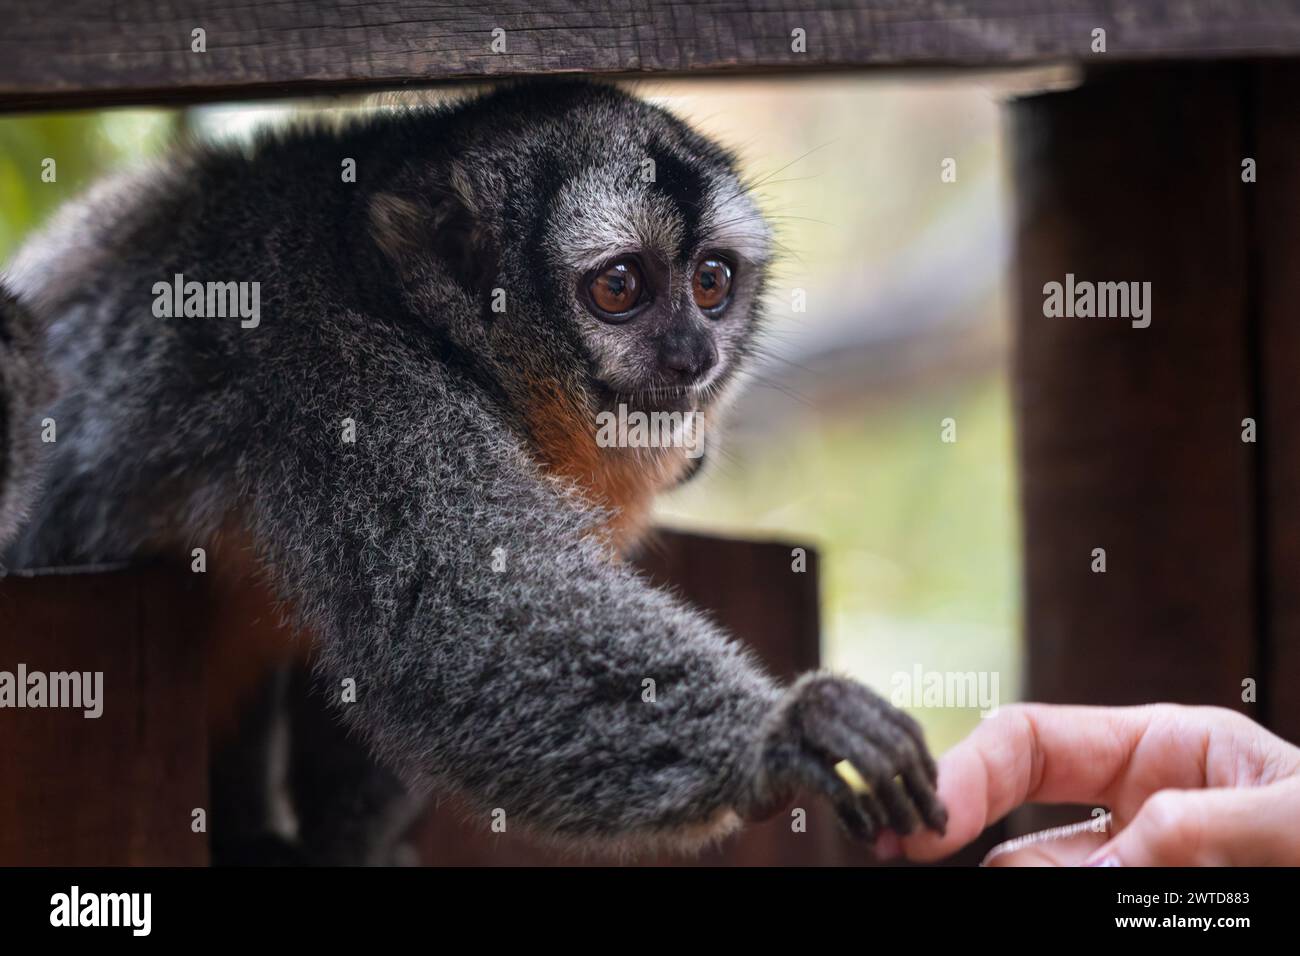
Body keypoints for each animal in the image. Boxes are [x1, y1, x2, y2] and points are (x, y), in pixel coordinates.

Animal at [1, 80, 946, 861]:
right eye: (620, 288)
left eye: (712, 281)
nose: (693, 356)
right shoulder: (349, 389)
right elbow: (450, 616)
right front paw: (784, 738)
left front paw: (346, 852)